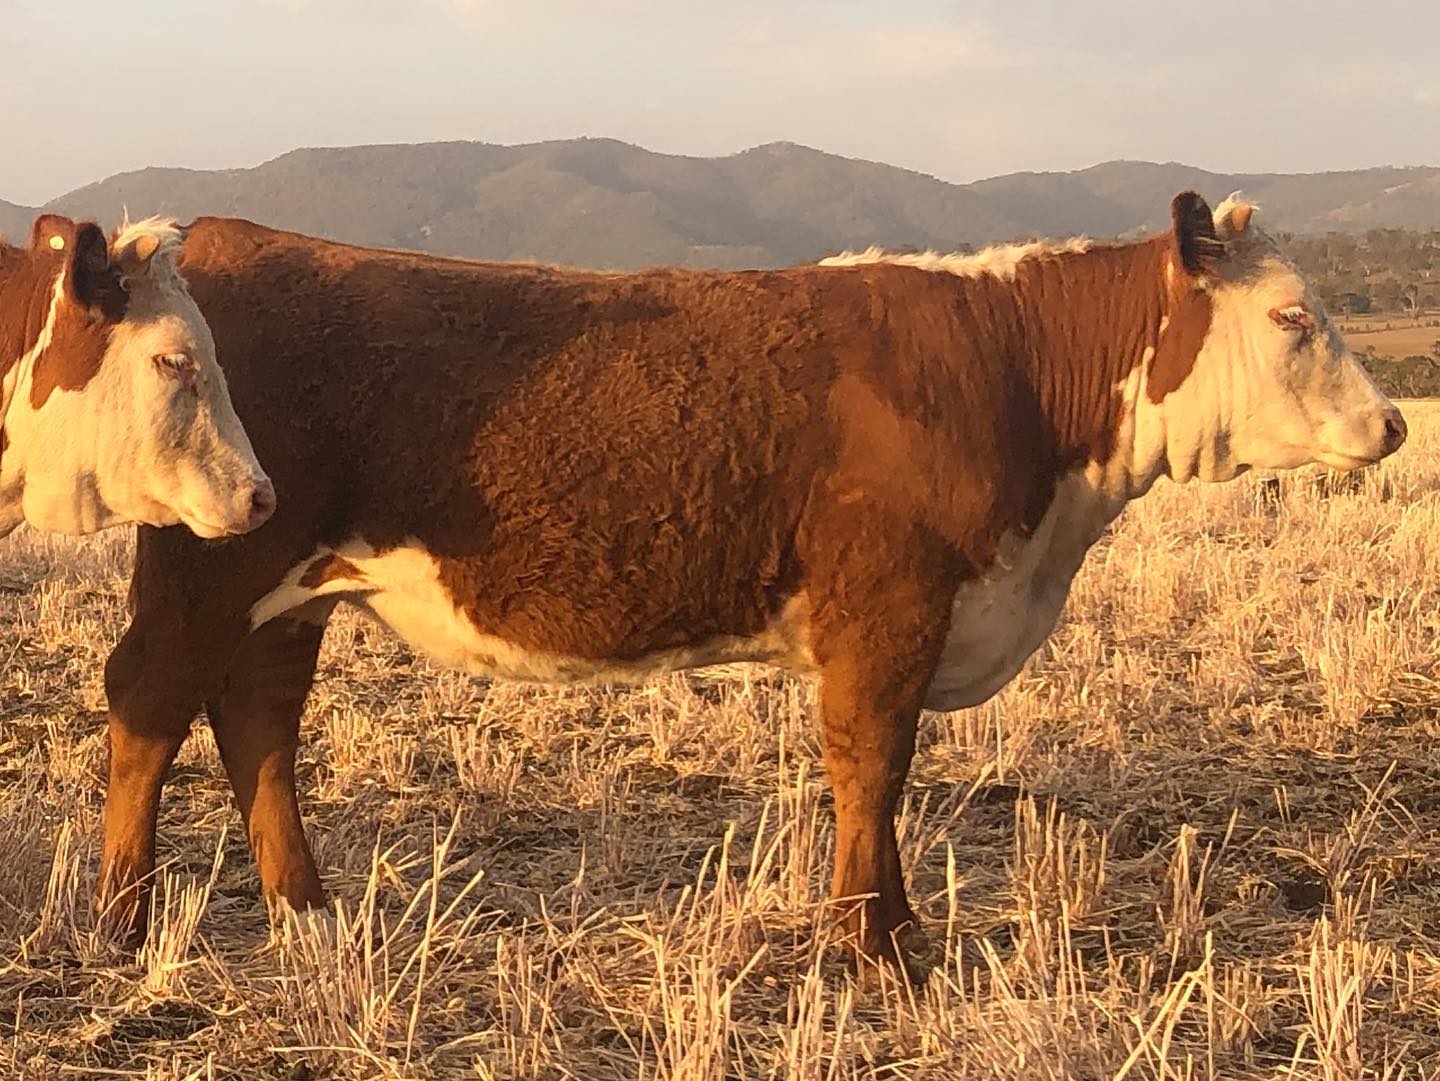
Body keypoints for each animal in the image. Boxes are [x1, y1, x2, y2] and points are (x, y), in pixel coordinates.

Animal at [96, 192, 1405, 974]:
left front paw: (886, 929)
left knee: (259, 719)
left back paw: (304, 908)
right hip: (212, 567)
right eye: (1293, 315)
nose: (1394, 421)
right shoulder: (888, 609)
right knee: (148, 704)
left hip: (294, 588)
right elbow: (872, 765)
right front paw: (874, 944)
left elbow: (875, 774)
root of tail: (233, 235)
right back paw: (122, 919)